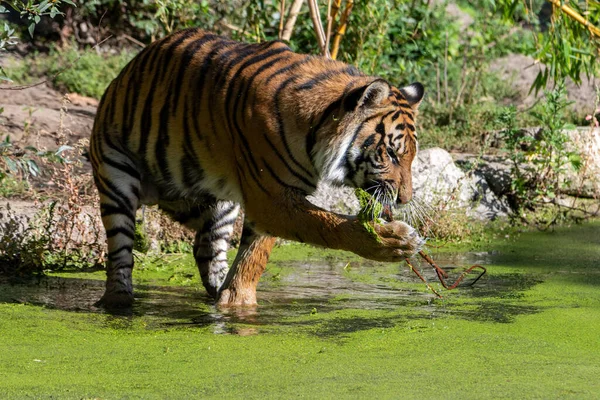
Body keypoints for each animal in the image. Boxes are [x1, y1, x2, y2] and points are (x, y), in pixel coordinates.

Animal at [89, 28, 426, 308]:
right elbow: (327, 225)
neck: (316, 127)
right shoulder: (270, 197)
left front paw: (238, 301)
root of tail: (124, 72)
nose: (405, 199)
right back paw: (118, 301)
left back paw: (216, 292)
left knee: (206, 248)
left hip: (219, 203)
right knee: (120, 253)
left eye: (411, 156)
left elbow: (254, 256)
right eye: (391, 154)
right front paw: (392, 242)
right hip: (117, 177)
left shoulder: (268, 199)